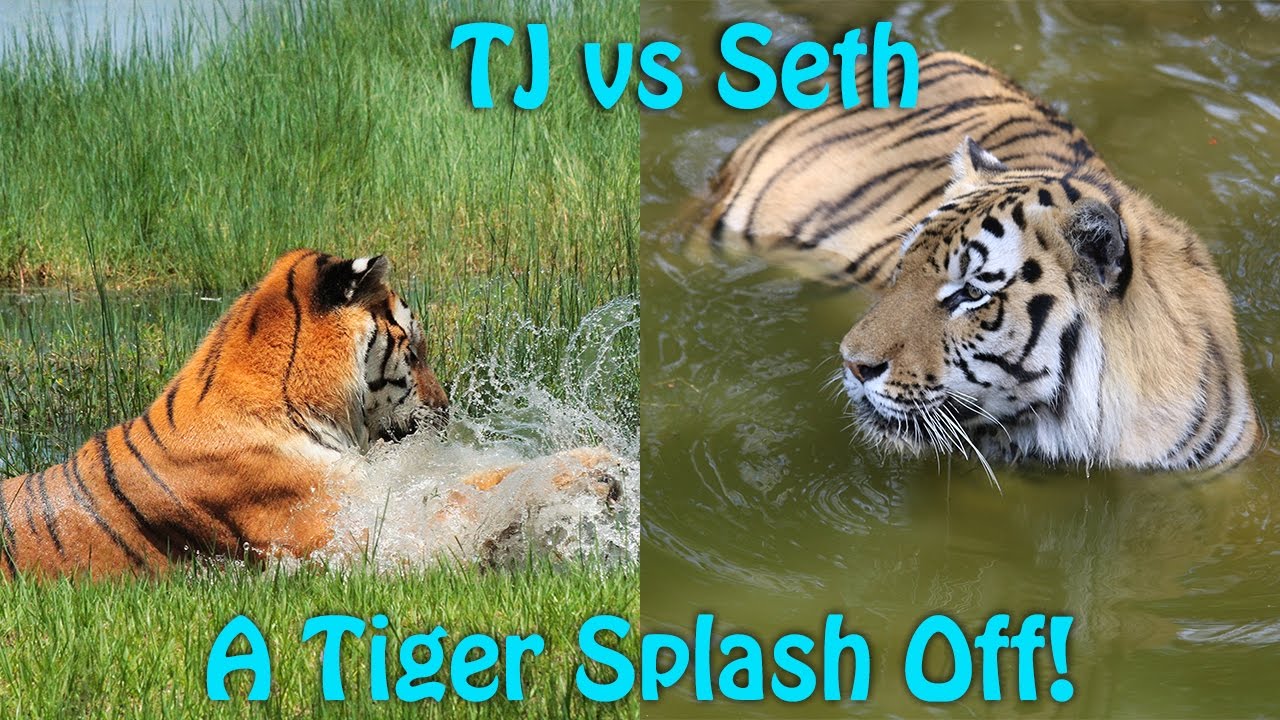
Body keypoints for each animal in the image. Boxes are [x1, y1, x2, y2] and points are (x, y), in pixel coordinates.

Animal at [0, 250, 617, 577]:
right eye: (414, 350)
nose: (447, 410)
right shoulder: (353, 529)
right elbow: (465, 498)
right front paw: (594, 467)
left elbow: (474, 480)